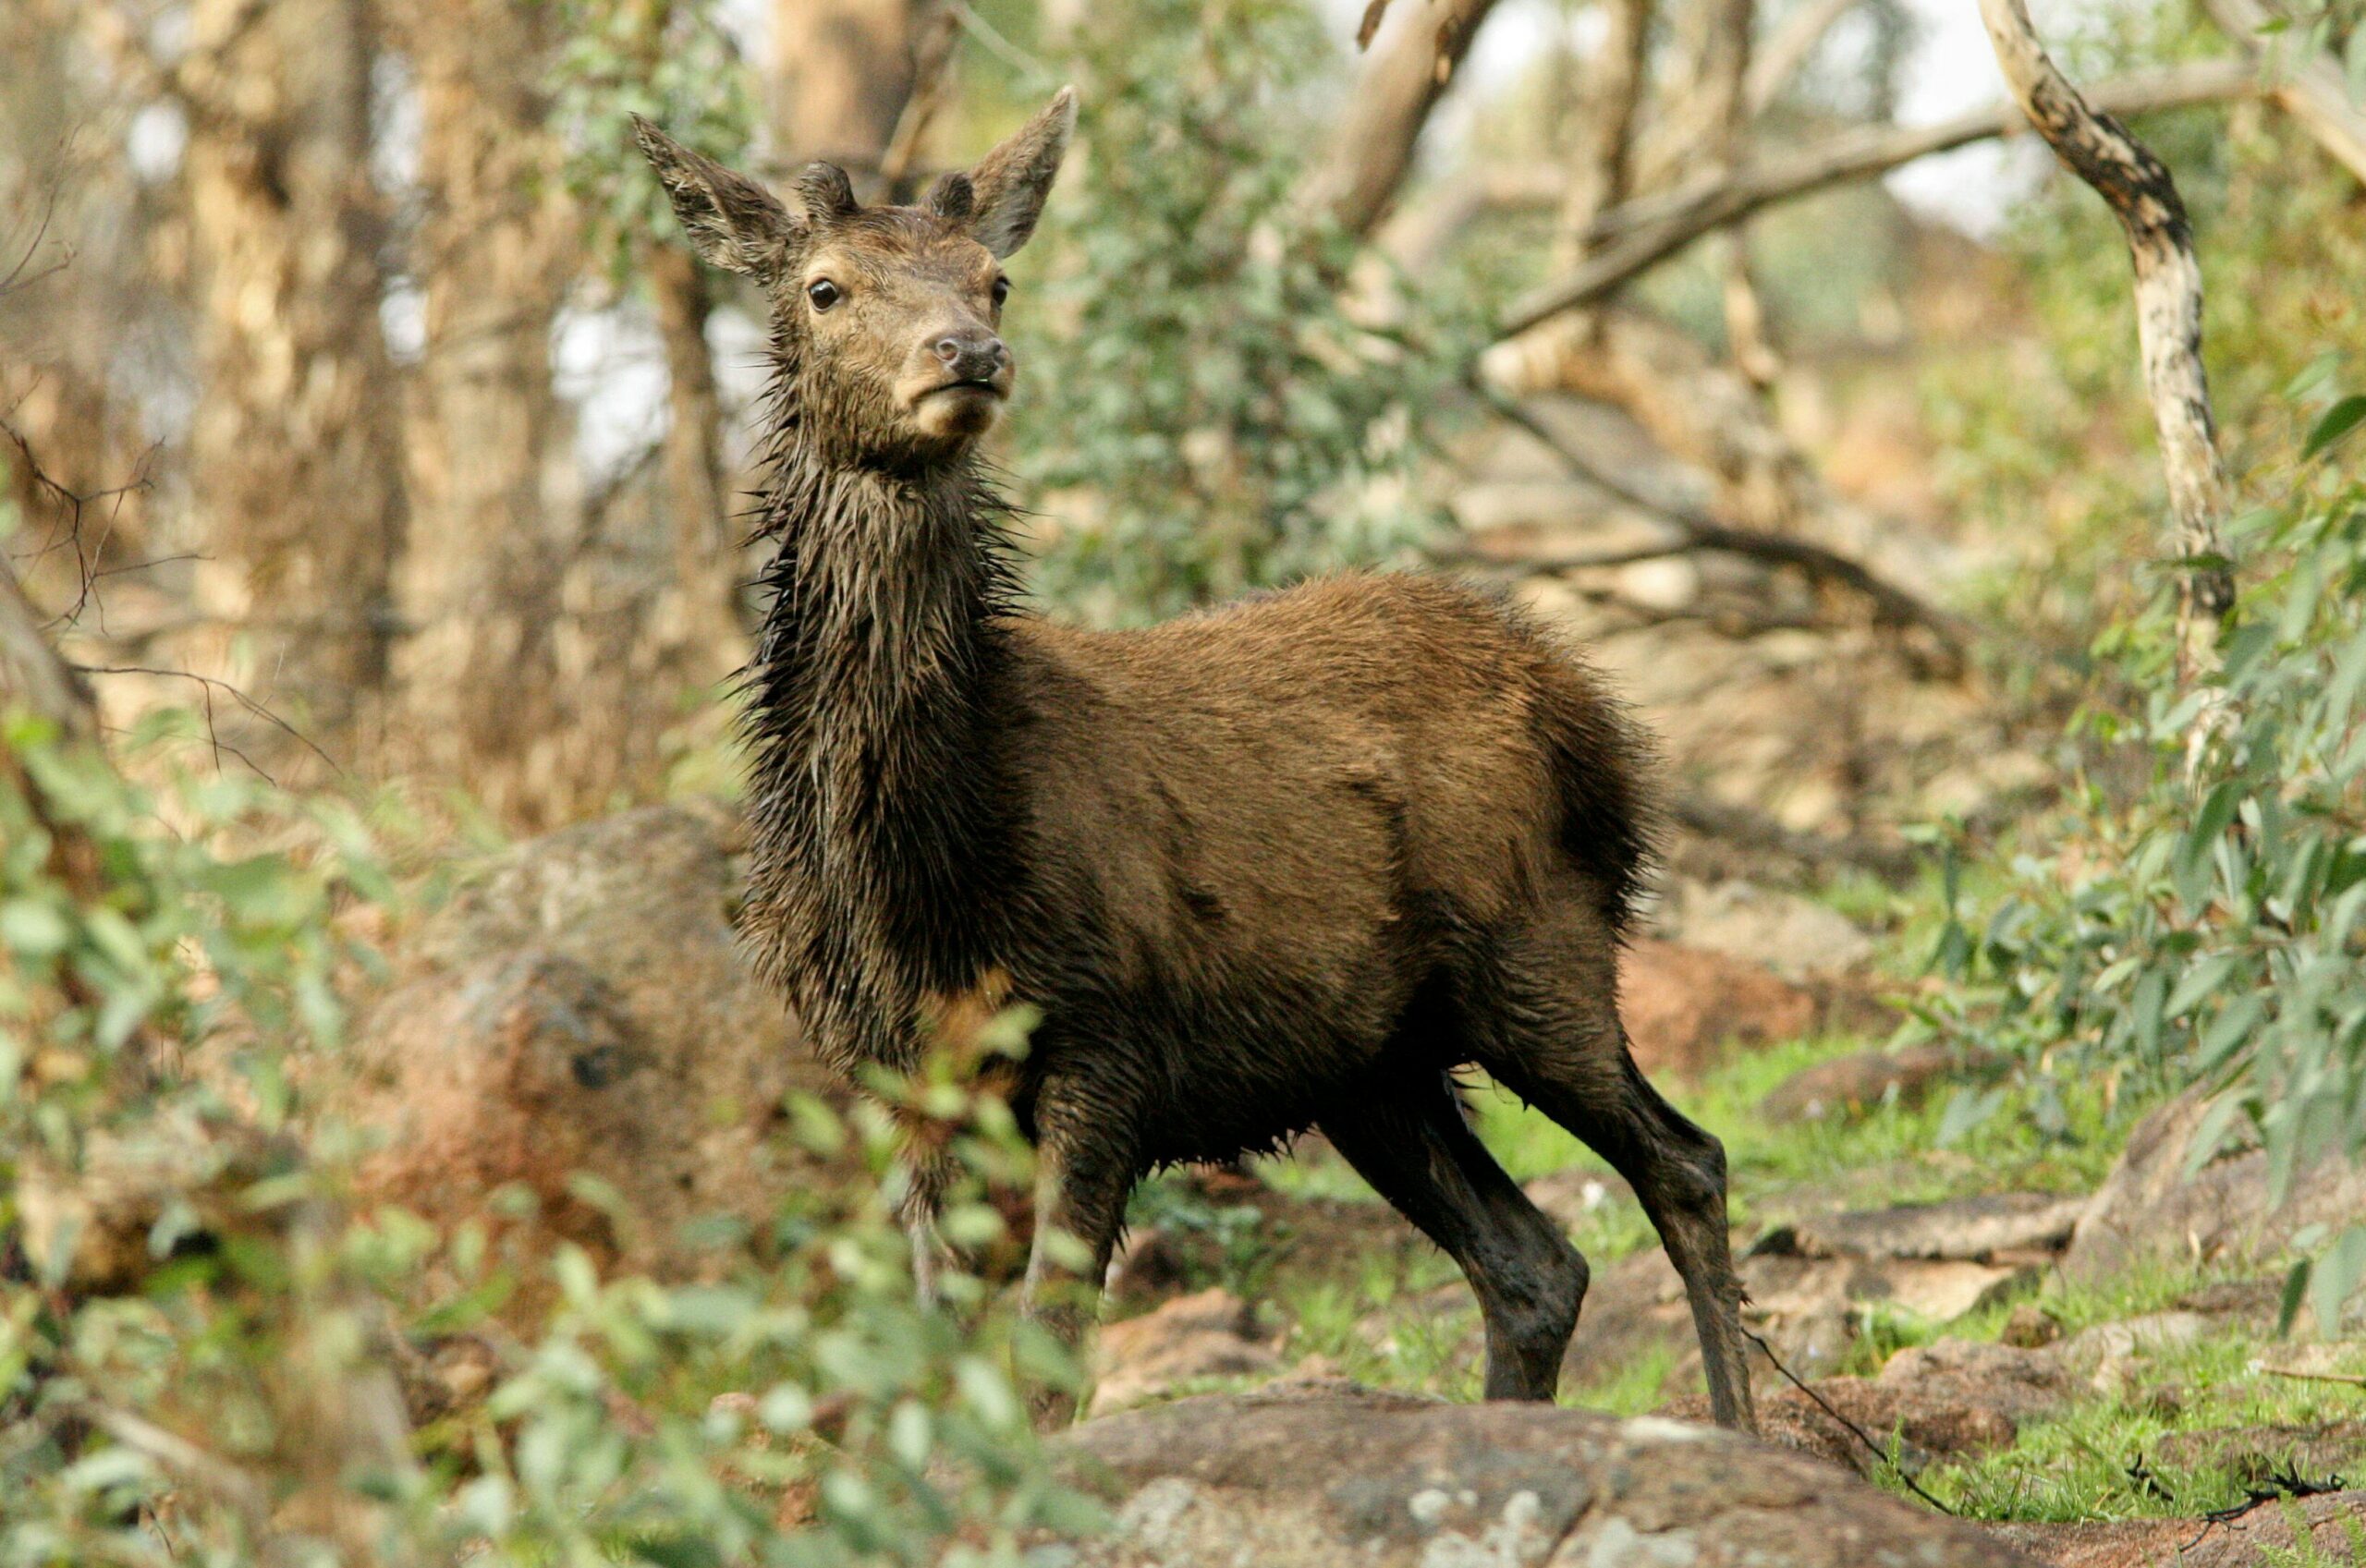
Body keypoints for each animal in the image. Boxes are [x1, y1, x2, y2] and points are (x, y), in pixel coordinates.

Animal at [633, 91, 1757, 1434]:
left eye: (995, 278)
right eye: (824, 287)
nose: (967, 354)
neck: (924, 873)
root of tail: (1603, 728)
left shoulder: (1108, 1031)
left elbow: (1048, 1357)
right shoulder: (901, 1072)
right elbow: (943, 1356)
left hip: (1537, 948)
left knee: (1687, 1161)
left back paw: (1750, 1433)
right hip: (1371, 1059)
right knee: (1536, 1260)